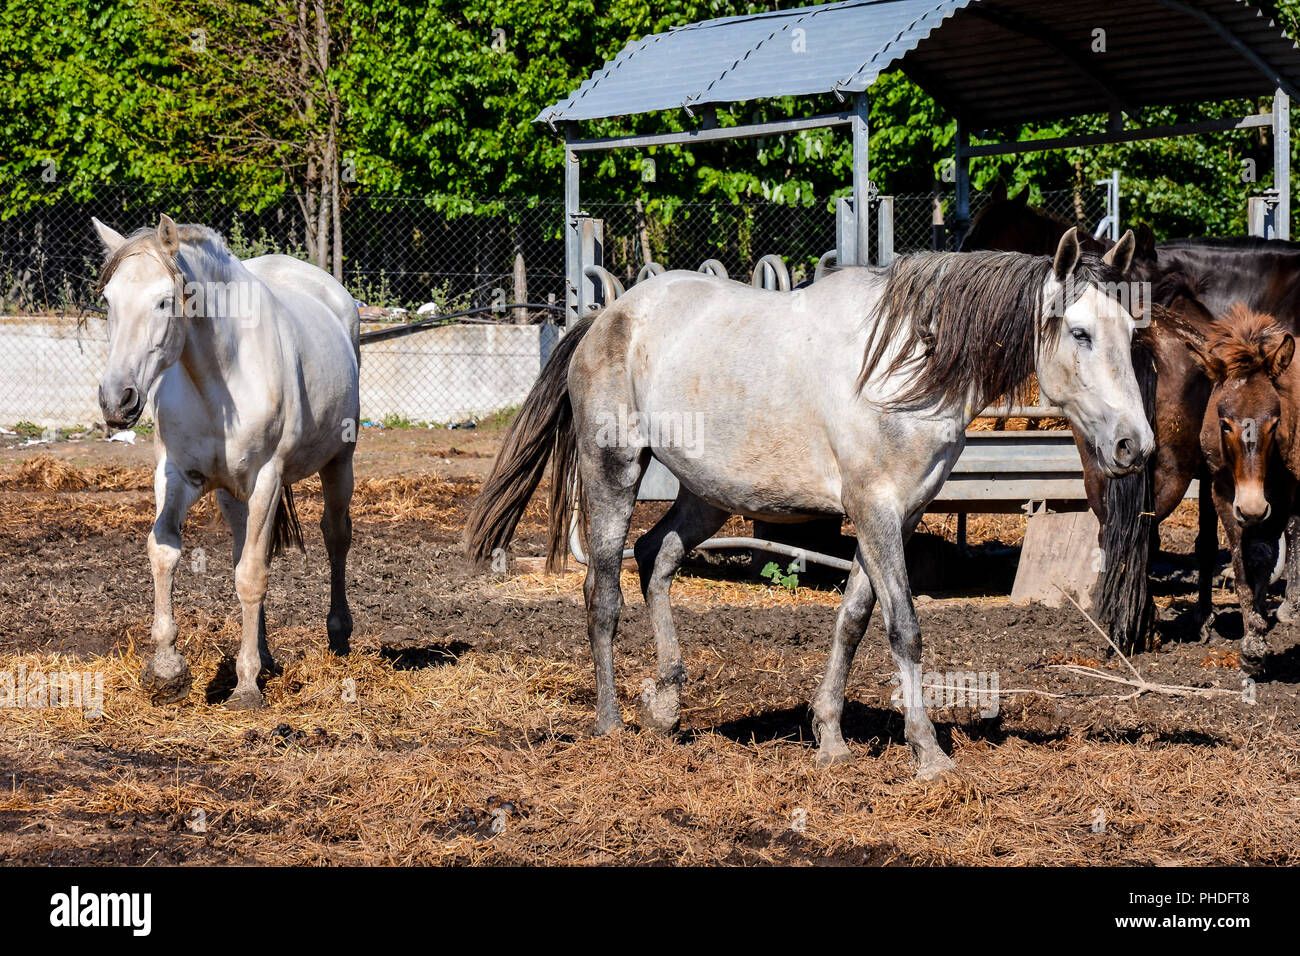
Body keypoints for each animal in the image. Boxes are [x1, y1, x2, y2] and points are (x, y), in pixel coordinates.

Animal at [92, 214, 360, 708]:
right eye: (109, 300)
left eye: (164, 301)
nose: (117, 400)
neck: (219, 376)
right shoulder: (177, 474)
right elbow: (165, 551)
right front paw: (166, 669)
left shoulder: (266, 479)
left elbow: (252, 575)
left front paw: (247, 686)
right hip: (234, 497)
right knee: (246, 549)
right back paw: (267, 656)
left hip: (339, 464)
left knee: (335, 537)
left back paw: (338, 637)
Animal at [466, 228, 1152, 778]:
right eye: (1081, 333)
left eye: (1129, 331)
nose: (1133, 445)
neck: (903, 366)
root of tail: (609, 316)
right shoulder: (874, 509)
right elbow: (904, 627)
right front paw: (928, 753)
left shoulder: (897, 515)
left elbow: (853, 620)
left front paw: (831, 739)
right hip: (613, 470)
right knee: (602, 589)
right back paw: (610, 722)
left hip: (708, 495)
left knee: (655, 556)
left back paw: (665, 706)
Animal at [1186, 305, 1298, 674]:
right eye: (1225, 423)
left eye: (1274, 424)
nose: (1251, 507)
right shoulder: (1222, 493)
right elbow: (1241, 558)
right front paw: (1252, 642)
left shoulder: (1281, 495)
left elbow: (1264, 553)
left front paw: (1256, 642)